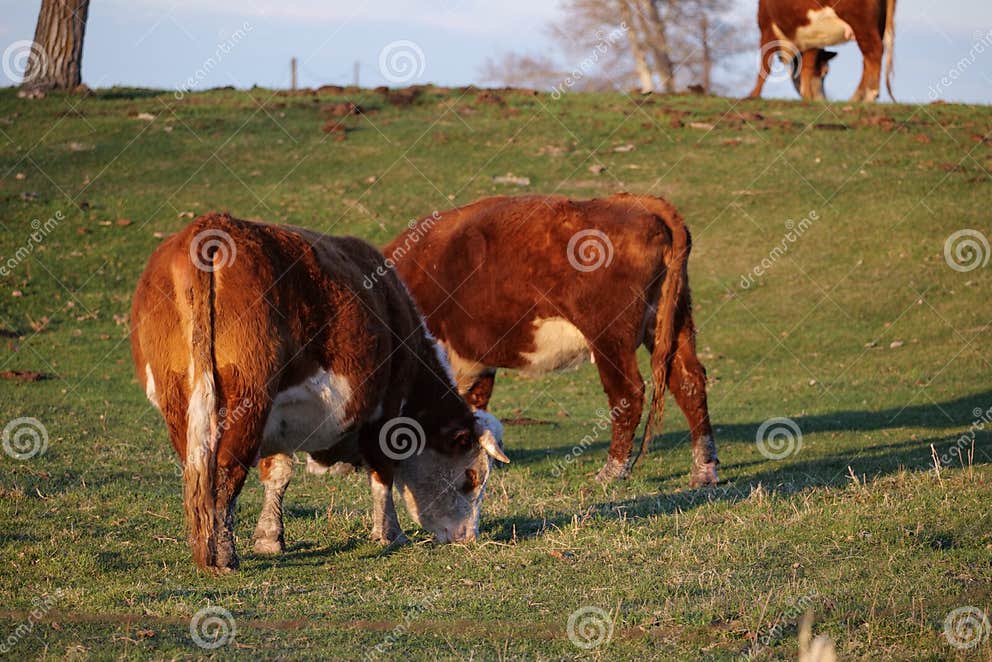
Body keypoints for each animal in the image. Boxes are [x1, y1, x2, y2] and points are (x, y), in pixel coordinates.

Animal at [130, 213, 509, 573]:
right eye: (472, 478)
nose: (468, 537)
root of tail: (210, 227)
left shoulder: (279, 414)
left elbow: (278, 472)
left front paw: (269, 538)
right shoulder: (386, 409)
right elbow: (382, 471)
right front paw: (389, 533)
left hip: (182, 399)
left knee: (196, 471)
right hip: (247, 399)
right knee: (225, 471)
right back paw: (223, 558)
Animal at [383, 193, 719, 486]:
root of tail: (640, 203)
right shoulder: (475, 360)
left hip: (609, 335)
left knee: (628, 393)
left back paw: (611, 473)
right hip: (674, 322)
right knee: (688, 381)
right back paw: (703, 469)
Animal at [748, 0, 896, 101]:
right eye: (825, 72)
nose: (821, 99)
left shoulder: (767, 26)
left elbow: (764, 65)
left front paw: (753, 95)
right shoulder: (812, 40)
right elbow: (807, 68)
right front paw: (808, 97)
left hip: (861, 23)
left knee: (874, 51)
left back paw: (870, 95)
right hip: (878, 24)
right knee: (867, 59)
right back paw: (856, 98)